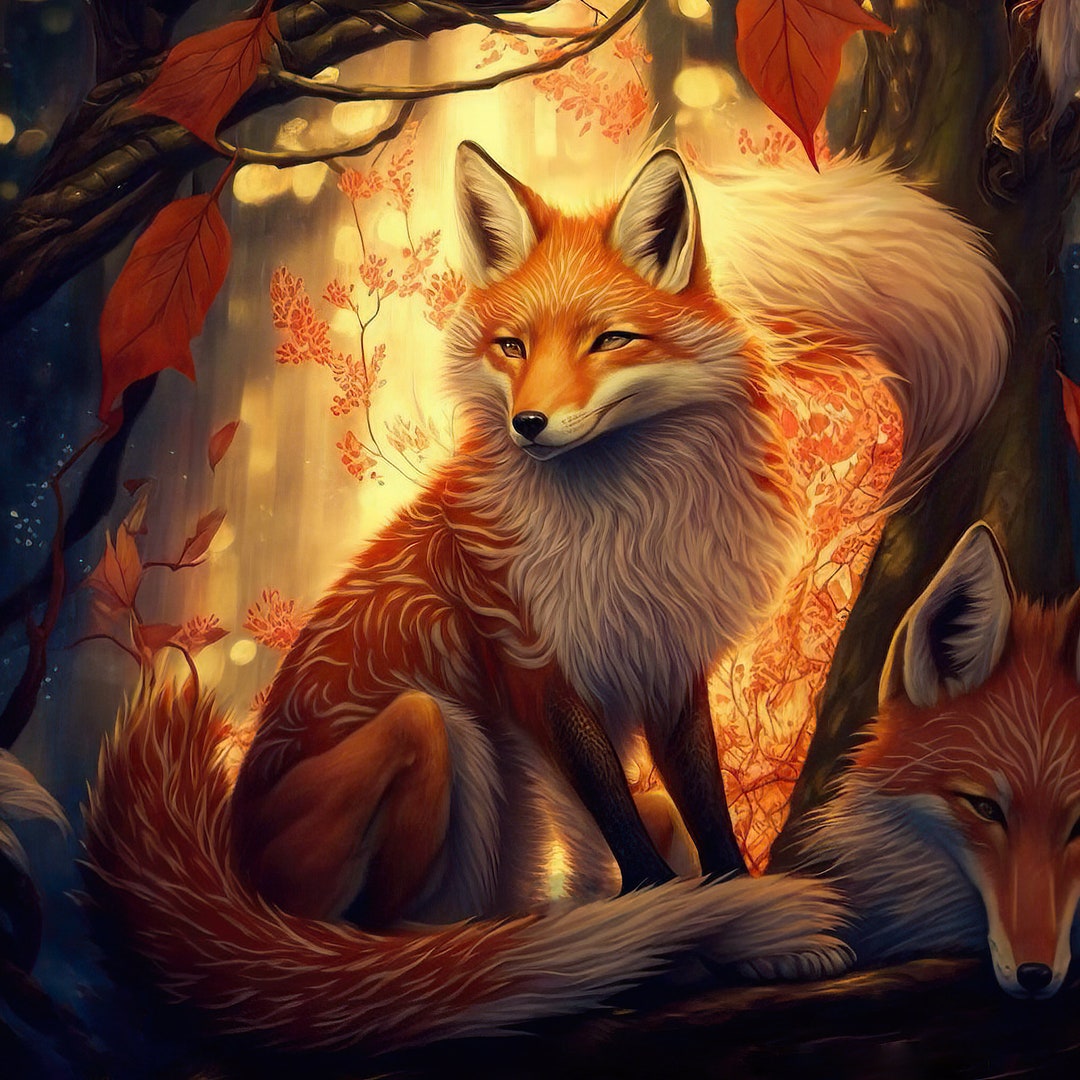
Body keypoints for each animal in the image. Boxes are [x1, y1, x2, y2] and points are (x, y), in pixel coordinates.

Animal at [85, 141, 1010, 1053]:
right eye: (512, 347)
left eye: (609, 341)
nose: (528, 425)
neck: (624, 526)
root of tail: (236, 876)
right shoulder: (536, 663)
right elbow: (628, 839)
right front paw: (686, 942)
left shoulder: (668, 665)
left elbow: (705, 809)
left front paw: (736, 911)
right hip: (432, 725)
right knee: (376, 949)